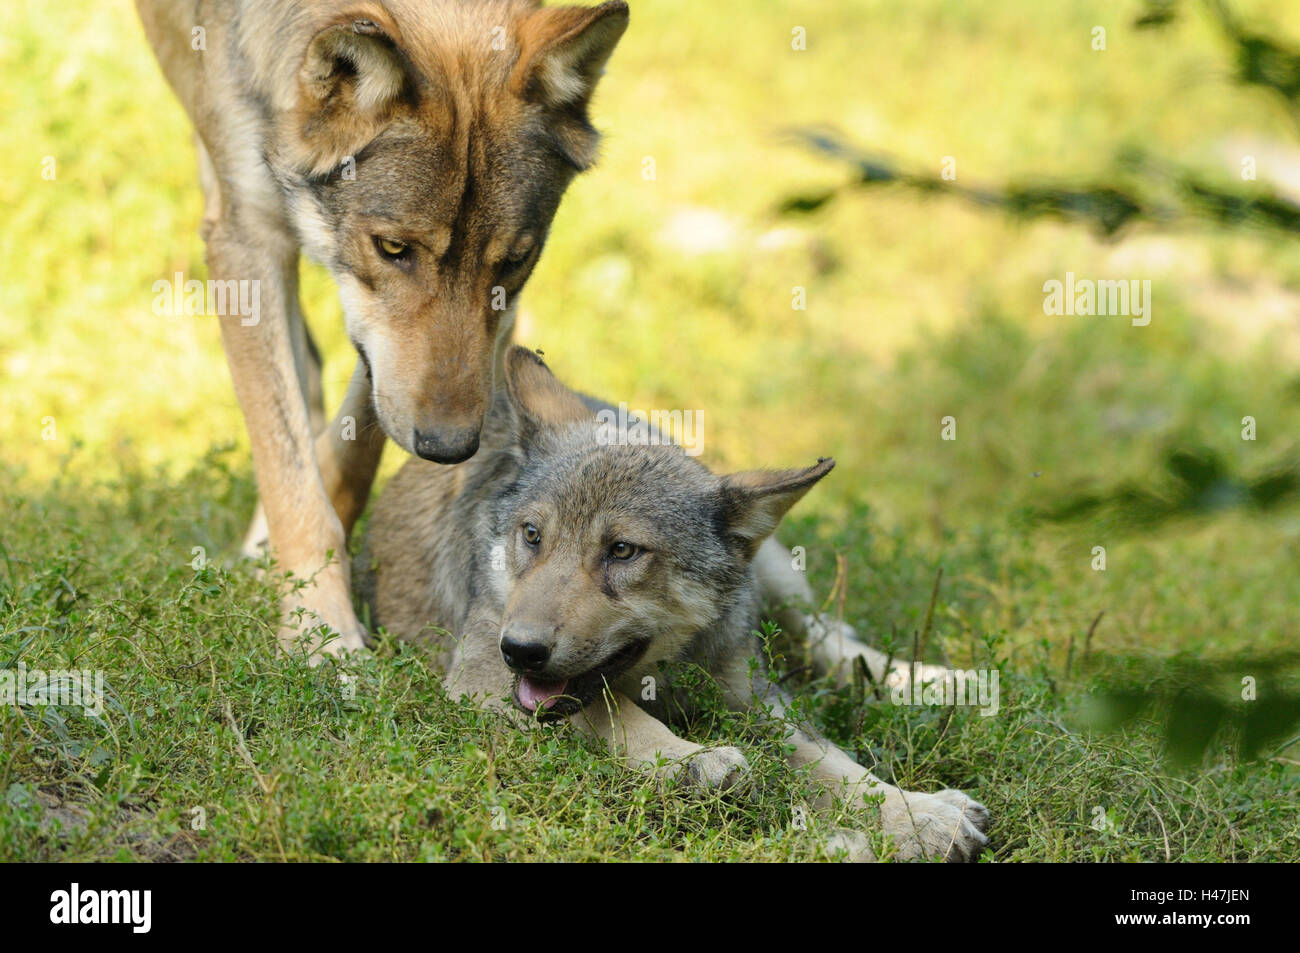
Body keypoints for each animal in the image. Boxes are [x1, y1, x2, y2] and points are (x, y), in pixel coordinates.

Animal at [134, 0, 630, 657]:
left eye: (513, 261)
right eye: (393, 248)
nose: (450, 449)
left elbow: (348, 457)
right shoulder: (247, 239)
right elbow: (294, 484)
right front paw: (320, 636)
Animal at [360, 346, 991, 861]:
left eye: (621, 550)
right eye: (533, 536)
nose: (520, 650)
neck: (660, 673)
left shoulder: (753, 696)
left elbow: (836, 763)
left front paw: (919, 815)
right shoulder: (482, 677)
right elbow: (611, 711)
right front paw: (691, 761)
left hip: (775, 575)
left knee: (830, 638)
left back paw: (935, 682)